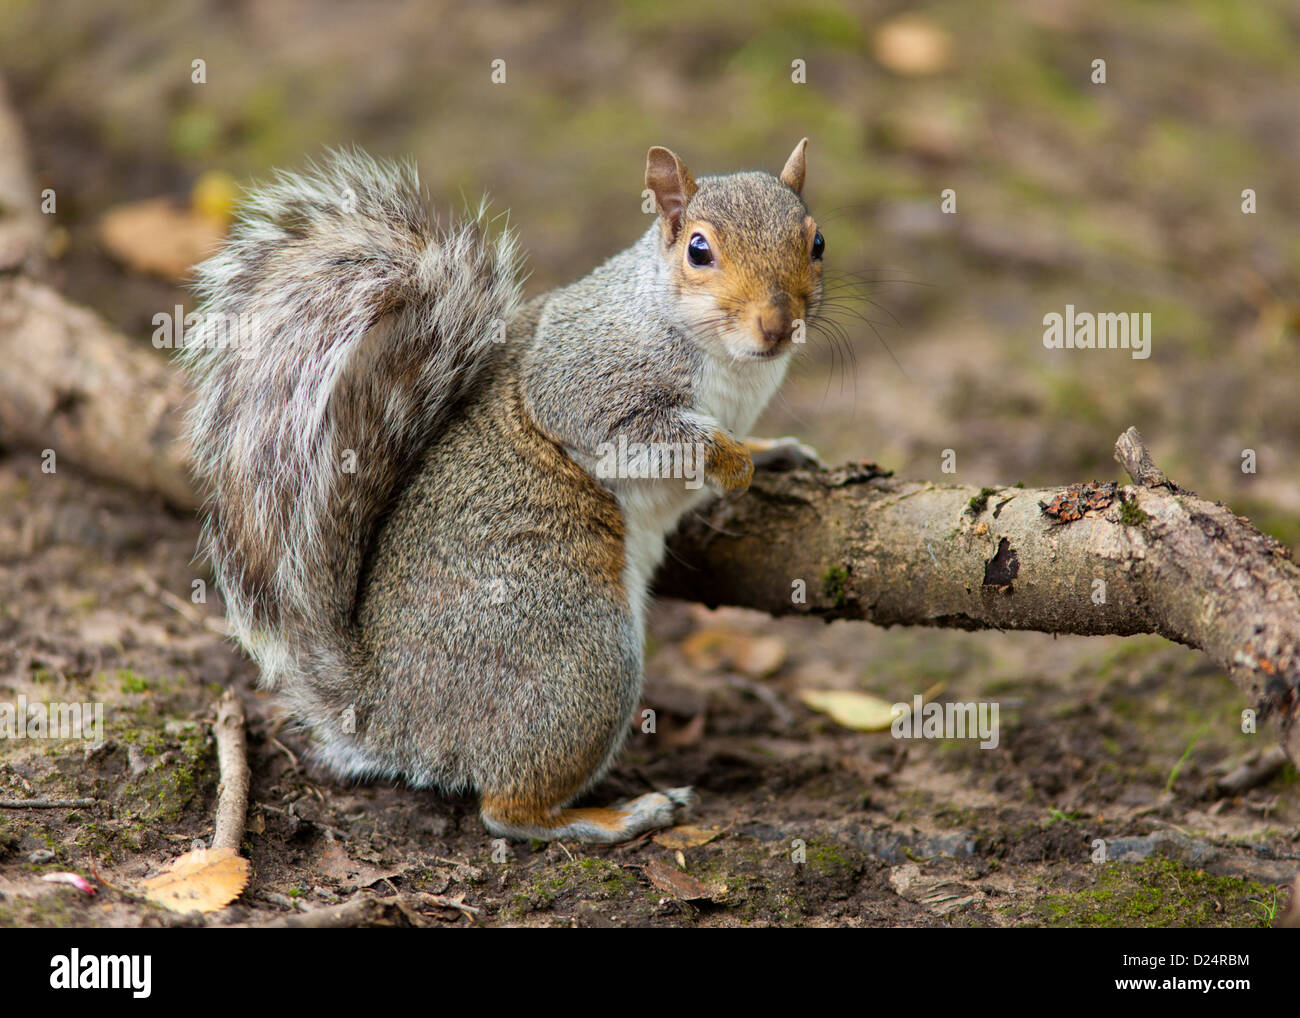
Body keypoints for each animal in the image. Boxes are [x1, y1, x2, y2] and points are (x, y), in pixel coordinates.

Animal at [180, 140, 825, 842]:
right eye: (699, 250)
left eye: (816, 241)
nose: (778, 325)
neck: (729, 361)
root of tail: (389, 710)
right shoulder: (585, 380)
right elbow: (635, 428)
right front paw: (733, 461)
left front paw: (776, 450)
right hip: (582, 657)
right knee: (506, 810)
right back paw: (615, 815)